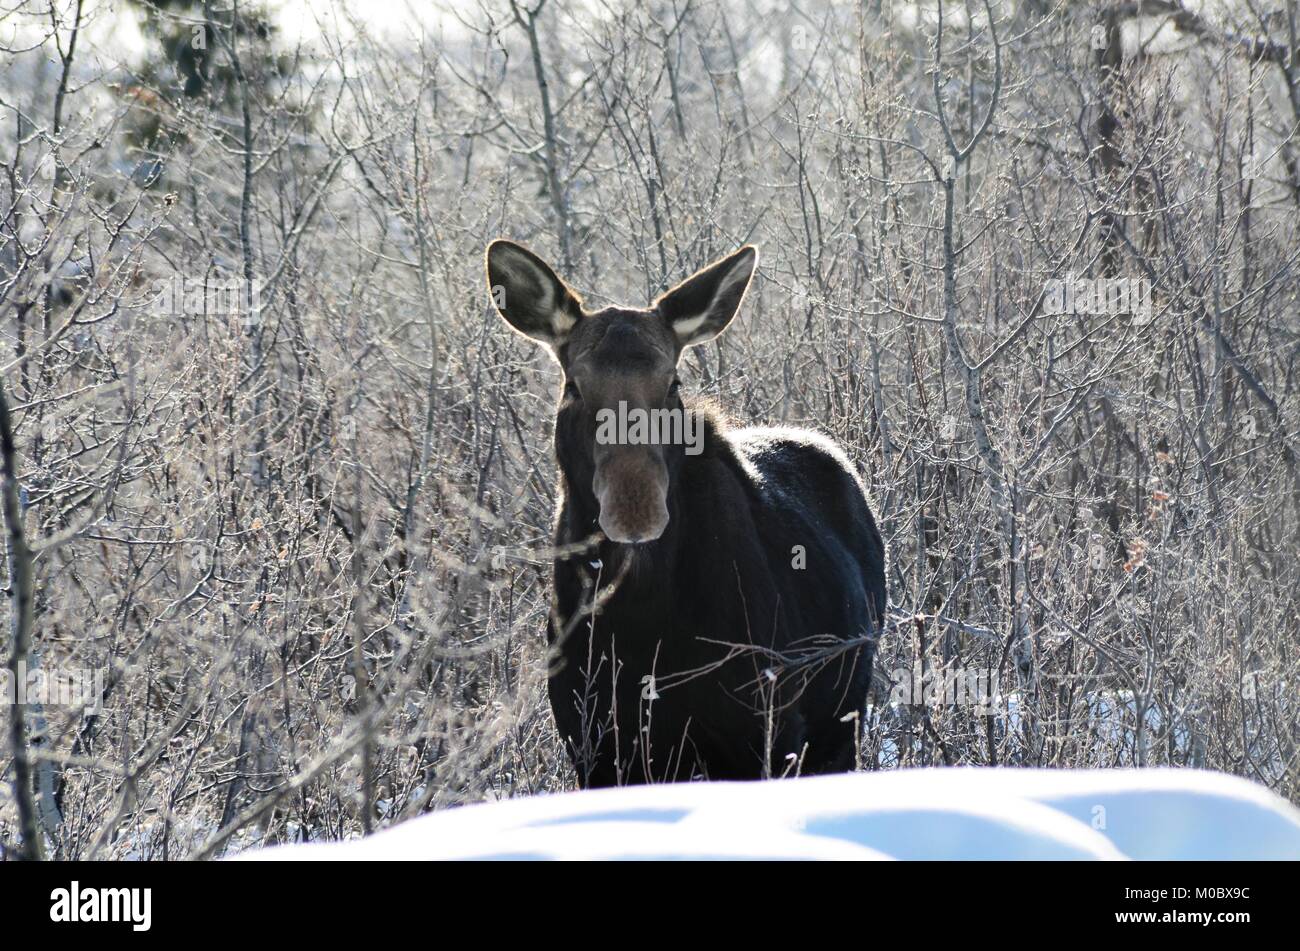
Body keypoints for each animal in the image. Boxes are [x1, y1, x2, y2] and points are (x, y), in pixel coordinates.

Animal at [486, 240, 887, 787]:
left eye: (672, 382)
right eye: (573, 386)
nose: (635, 509)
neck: (641, 614)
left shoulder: (766, 735)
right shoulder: (594, 746)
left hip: (841, 727)